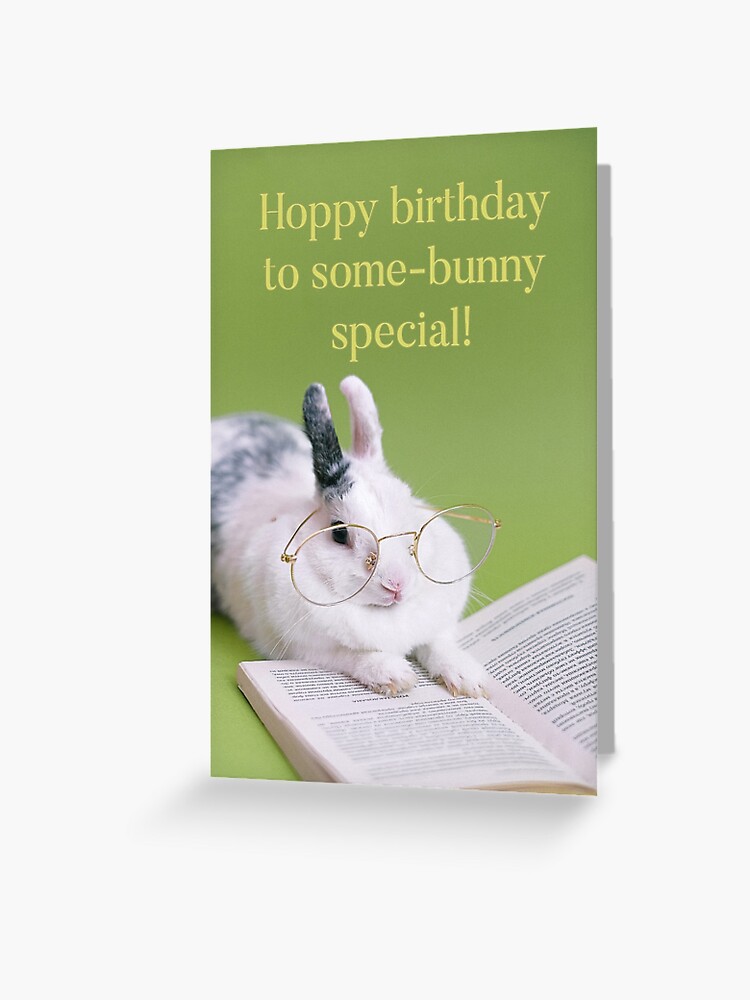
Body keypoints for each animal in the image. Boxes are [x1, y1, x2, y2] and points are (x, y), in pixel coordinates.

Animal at [211, 375, 491, 697]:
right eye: (340, 533)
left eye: (409, 508)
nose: (397, 584)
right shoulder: (305, 649)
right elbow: (355, 656)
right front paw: (395, 677)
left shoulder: (435, 627)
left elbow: (438, 646)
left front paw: (470, 680)